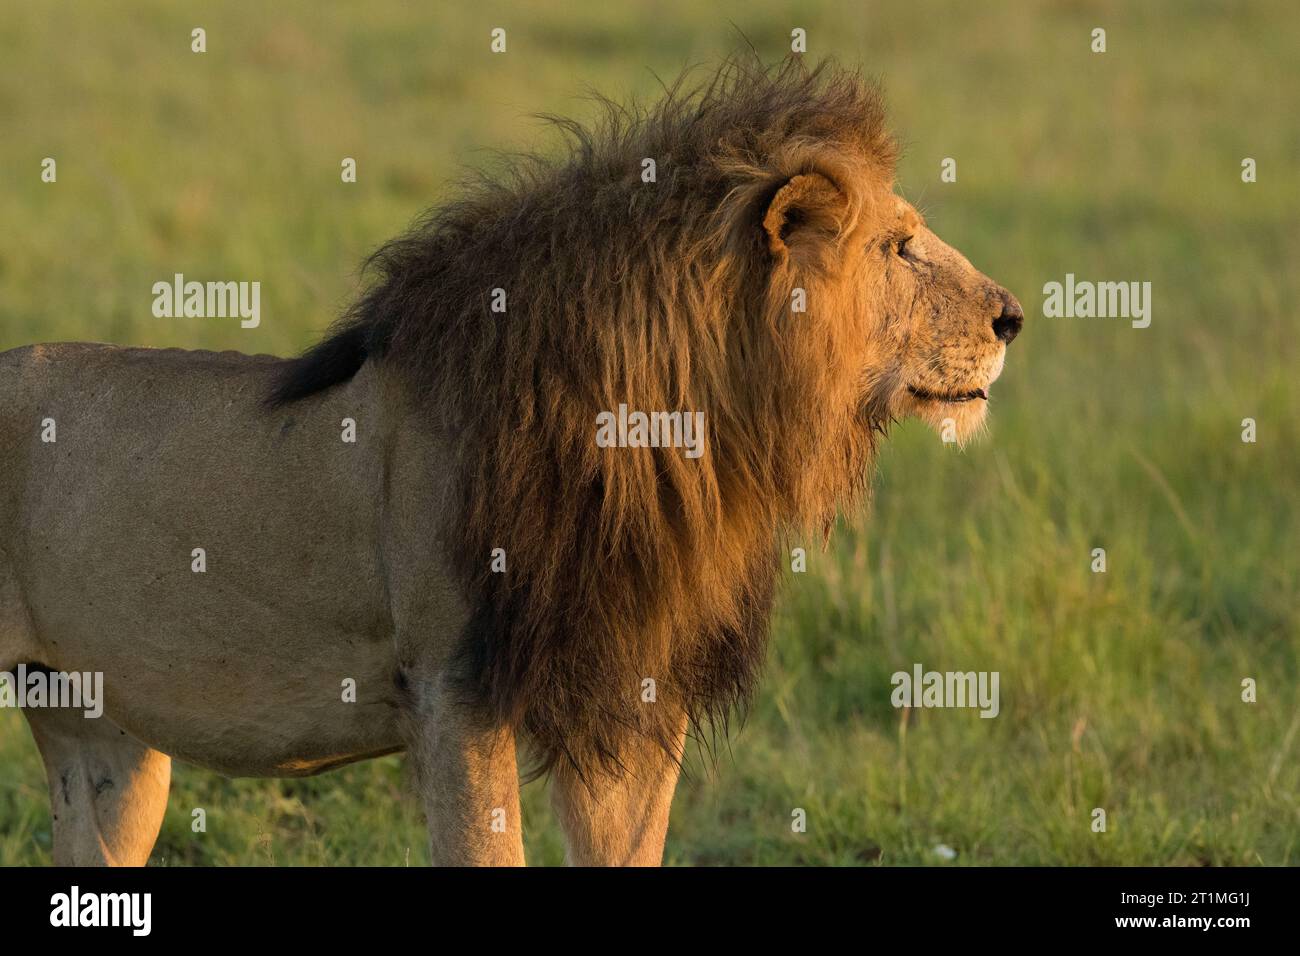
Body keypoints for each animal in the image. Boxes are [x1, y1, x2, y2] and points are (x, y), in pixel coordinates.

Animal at [0, 57, 1022, 866]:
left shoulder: (631, 694)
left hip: (101, 738)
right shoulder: (453, 690)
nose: (1013, 316)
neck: (681, 442)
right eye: (899, 247)